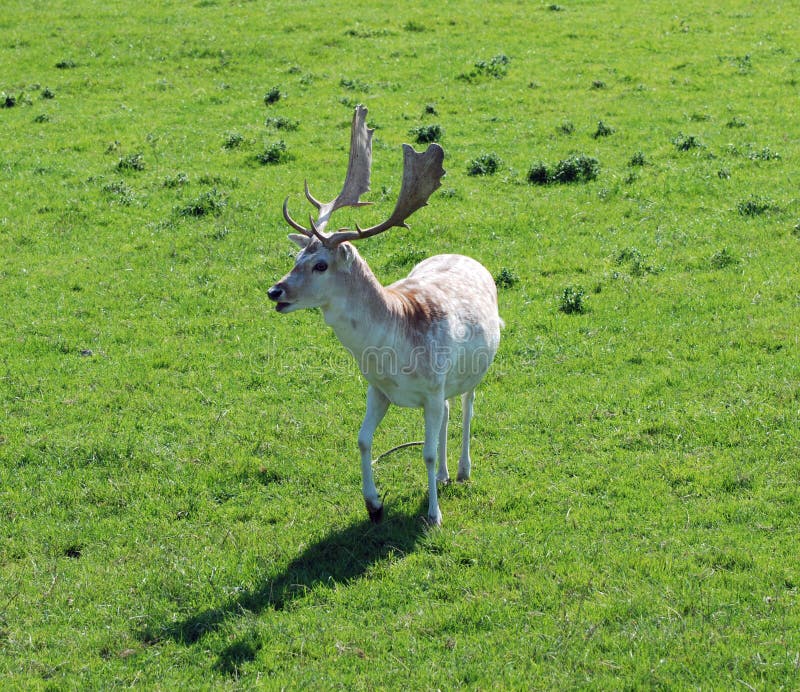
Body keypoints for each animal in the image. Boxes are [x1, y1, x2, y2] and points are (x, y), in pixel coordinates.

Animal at [267, 105, 501, 526]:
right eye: (296, 257)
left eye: (321, 265)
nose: (275, 291)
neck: (392, 351)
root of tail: (466, 255)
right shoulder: (377, 388)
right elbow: (362, 440)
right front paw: (373, 504)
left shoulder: (431, 387)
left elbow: (426, 452)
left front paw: (434, 516)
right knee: (447, 415)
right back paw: (445, 475)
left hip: (473, 368)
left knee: (466, 407)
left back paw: (461, 471)